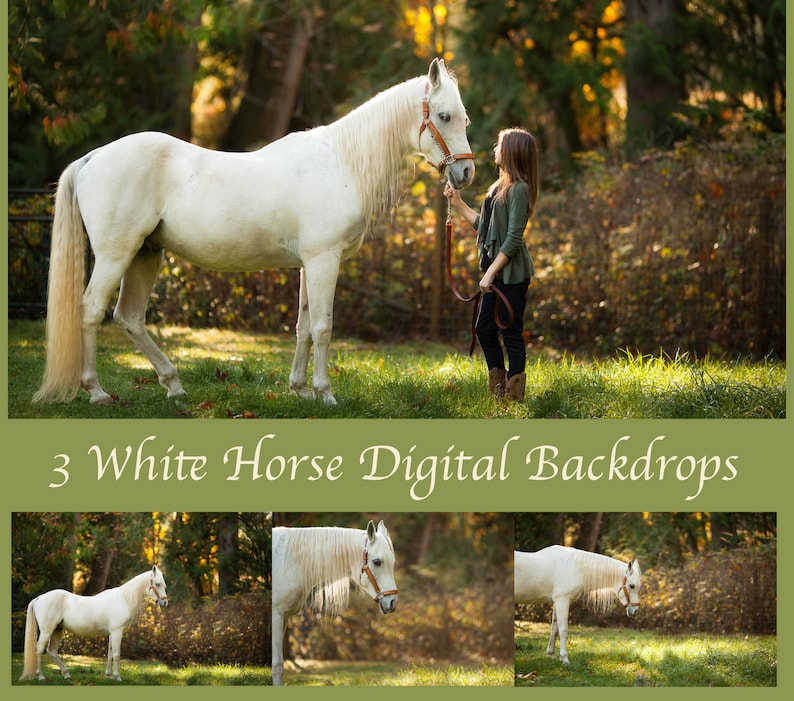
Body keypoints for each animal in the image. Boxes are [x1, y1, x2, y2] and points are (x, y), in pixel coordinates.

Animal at [19, 565, 168, 682]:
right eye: (157, 584)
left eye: (164, 584)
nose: (165, 603)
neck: (123, 599)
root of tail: (39, 598)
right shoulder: (117, 632)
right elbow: (116, 654)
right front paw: (117, 677)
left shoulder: (112, 634)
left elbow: (110, 654)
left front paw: (108, 676)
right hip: (47, 630)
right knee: (39, 649)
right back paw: (41, 676)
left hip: (57, 630)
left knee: (52, 652)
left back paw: (66, 674)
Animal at [32, 58, 475, 407]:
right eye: (443, 116)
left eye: (463, 117)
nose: (466, 173)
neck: (340, 163)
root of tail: (93, 157)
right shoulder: (324, 261)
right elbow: (323, 327)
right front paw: (325, 394)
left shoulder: (309, 265)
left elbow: (302, 327)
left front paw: (299, 390)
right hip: (116, 254)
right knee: (91, 310)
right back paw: (97, 392)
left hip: (145, 254)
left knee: (129, 318)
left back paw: (174, 386)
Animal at [271, 519, 398, 685]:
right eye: (377, 562)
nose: (393, 602)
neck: (290, 562)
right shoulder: (276, 615)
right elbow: (277, 664)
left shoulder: (285, 617)